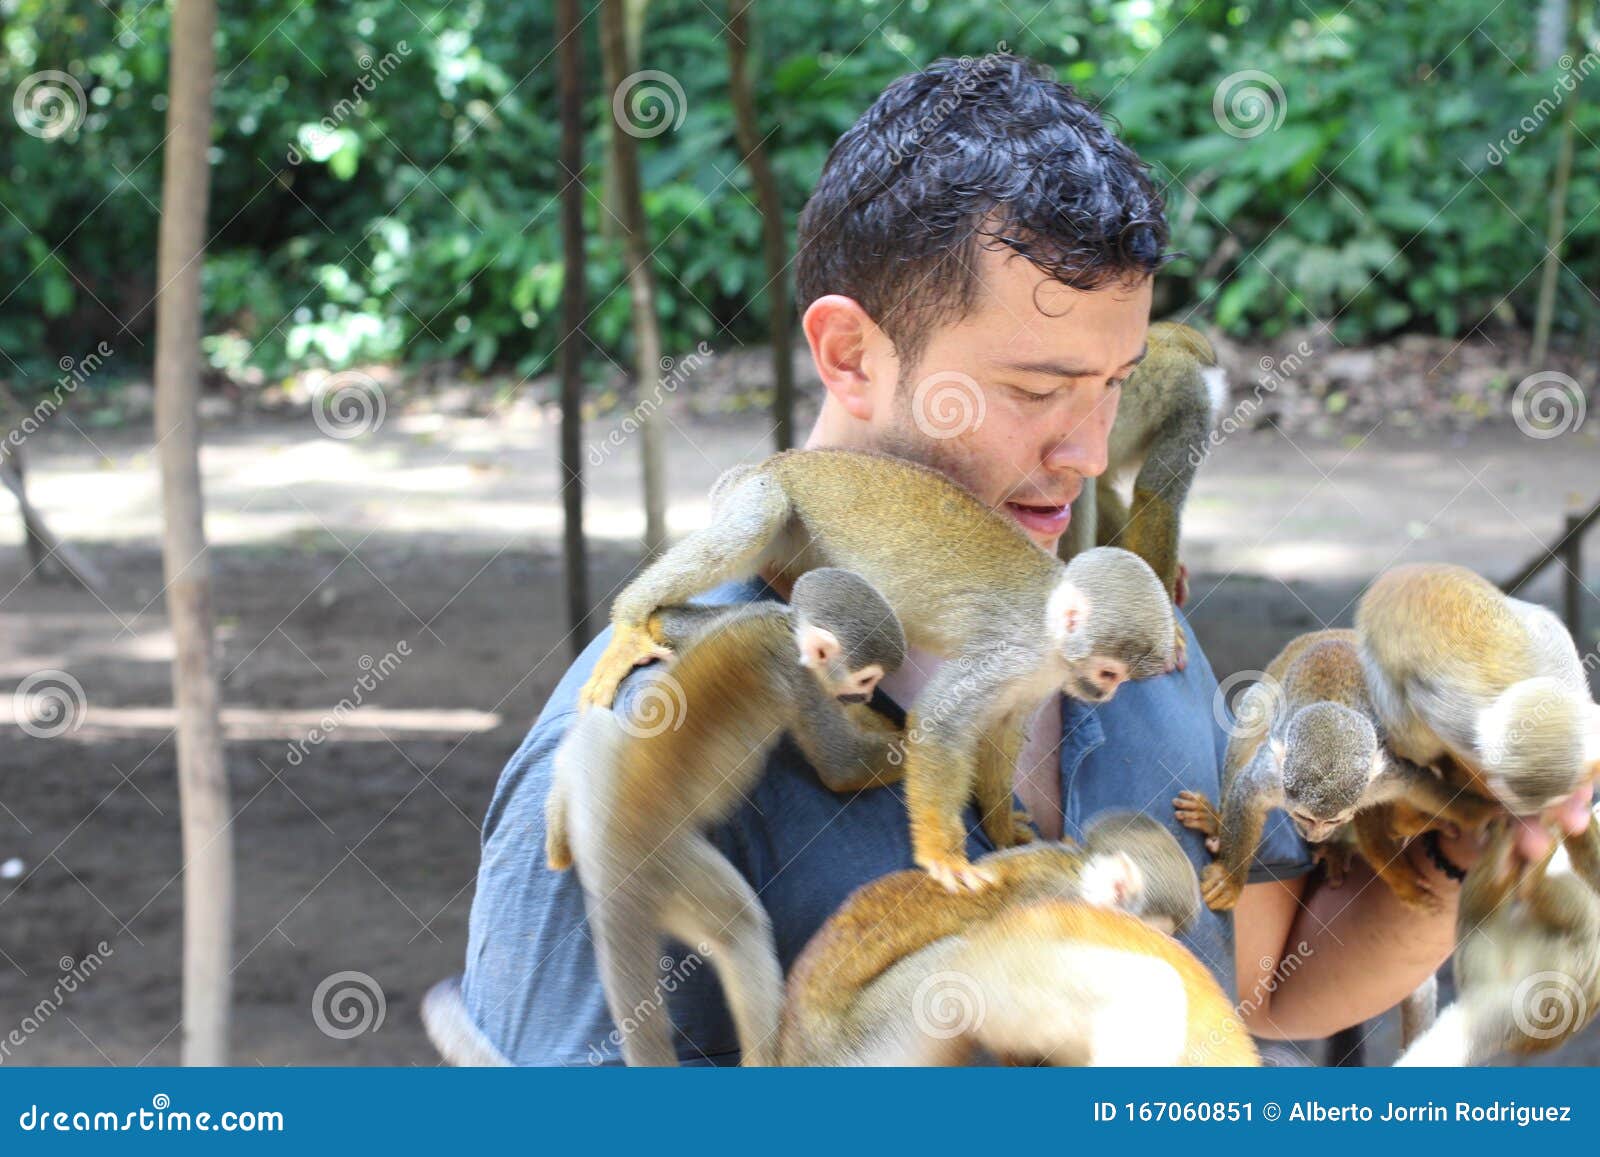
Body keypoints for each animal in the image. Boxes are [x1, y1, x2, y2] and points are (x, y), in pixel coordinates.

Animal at [546, 568, 908, 1066]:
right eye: (867, 676)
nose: (869, 694)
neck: (789, 632)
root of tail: (615, 847)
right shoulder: (800, 678)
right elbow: (843, 769)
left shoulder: (757, 615)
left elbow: (677, 624)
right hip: (669, 867)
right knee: (742, 929)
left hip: (598, 788)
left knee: (595, 729)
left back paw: (557, 838)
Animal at [577, 447, 1178, 892]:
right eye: (1110, 673)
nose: (1104, 695)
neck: (1054, 636)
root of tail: (773, 461)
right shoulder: (1013, 651)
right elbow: (941, 721)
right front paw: (943, 855)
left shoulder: (1041, 677)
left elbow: (1003, 733)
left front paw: (1003, 824)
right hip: (765, 496)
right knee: (744, 533)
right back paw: (634, 618)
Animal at [1173, 629, 1500, 912]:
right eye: (1304, 817)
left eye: (1334, 820)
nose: (1314, 836)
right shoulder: (1275, 777)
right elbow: (1247, 792)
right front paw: (1230, 879)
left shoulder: (1380, 780)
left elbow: (1418, 785)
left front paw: (1479, 813)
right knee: (1253, 717)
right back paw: (1216, 823)